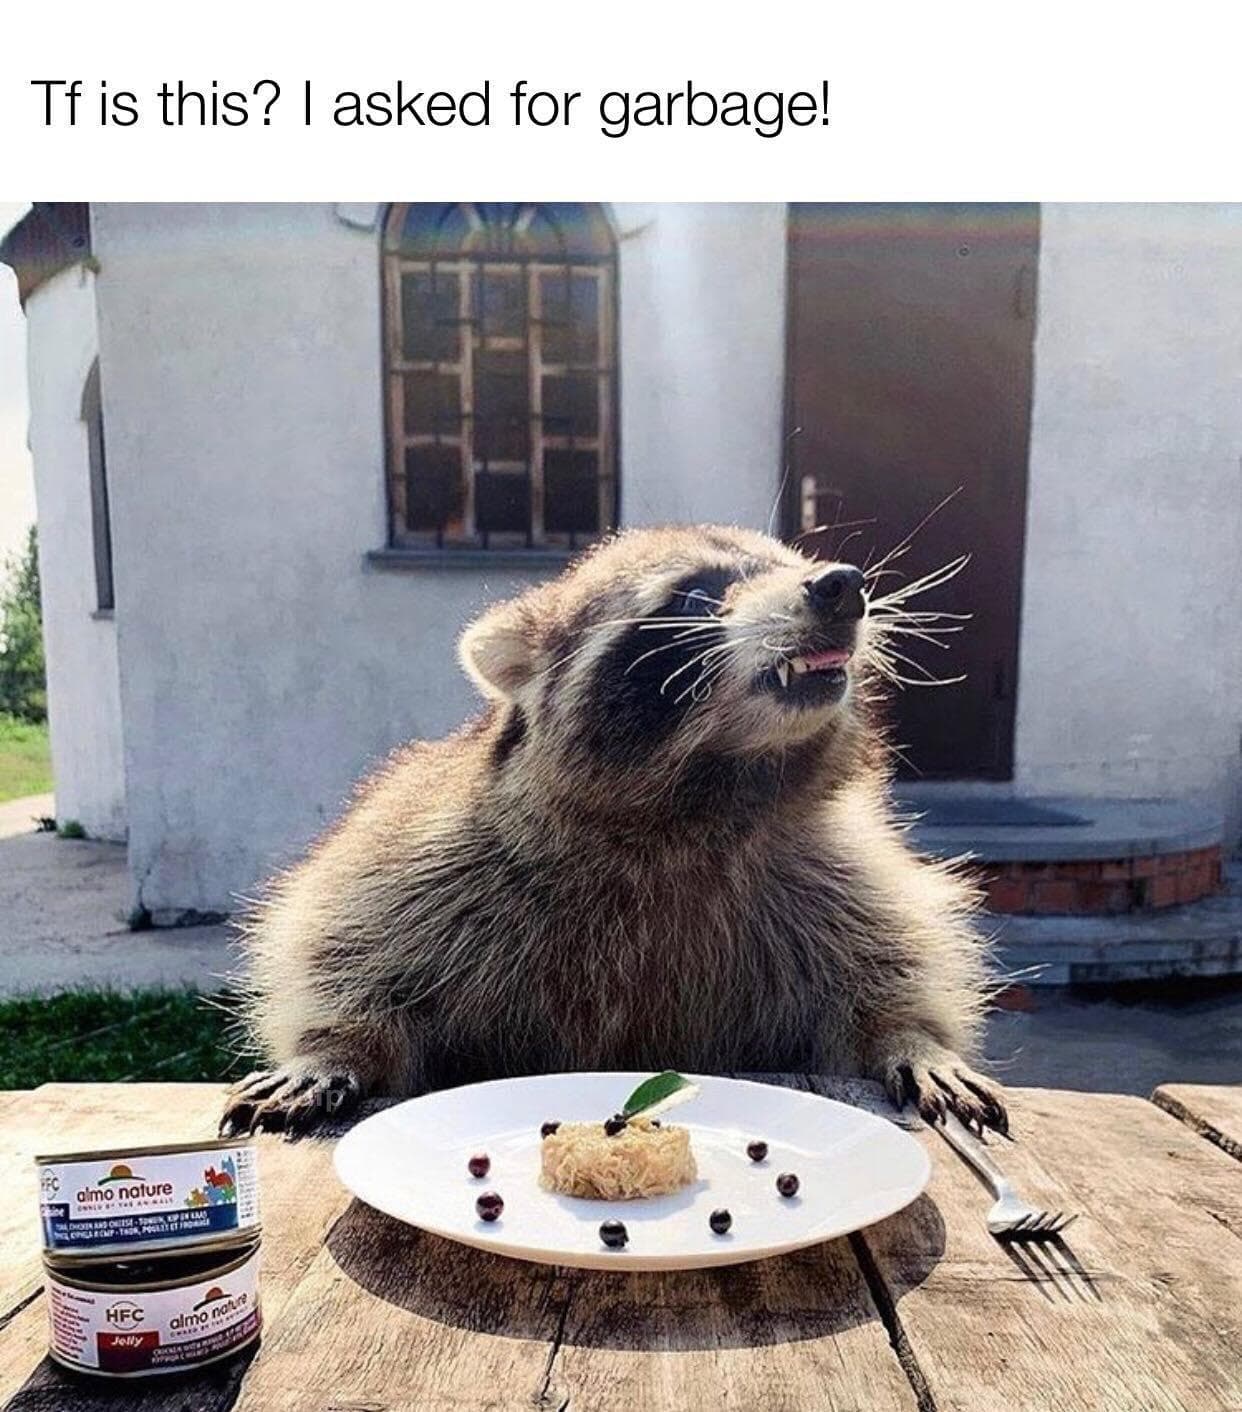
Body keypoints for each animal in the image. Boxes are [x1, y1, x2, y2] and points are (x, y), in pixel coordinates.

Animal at [221, 524, 1006, 1137]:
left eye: (792, 559)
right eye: (696, 593)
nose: (843, 585)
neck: (703, 794)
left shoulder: (829, 862)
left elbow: (886, 961)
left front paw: (913, 1039)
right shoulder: (431, 848)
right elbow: (351, 947)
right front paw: (334, 1048)